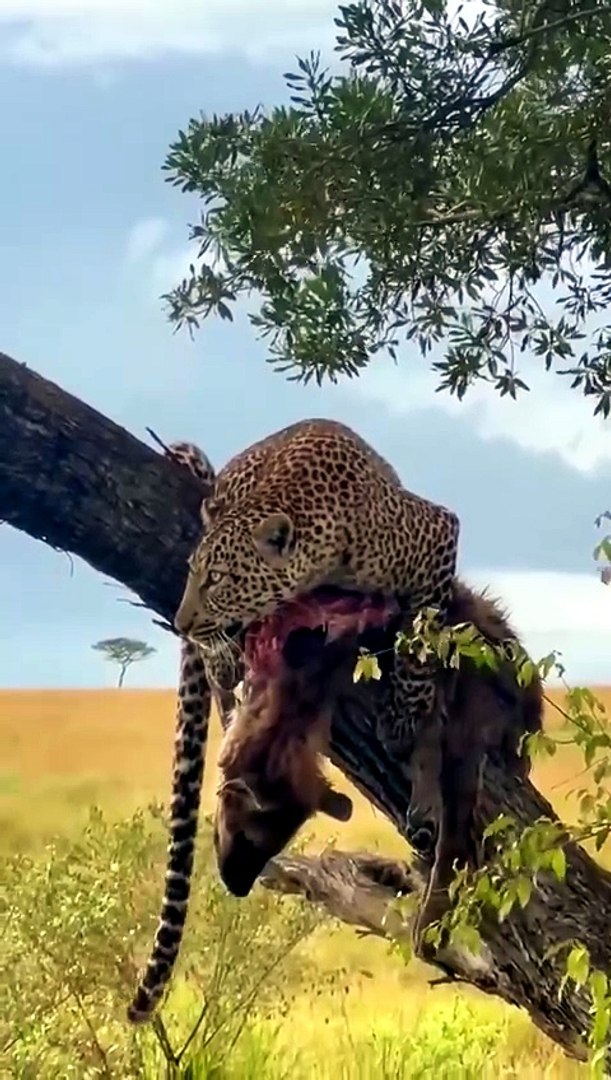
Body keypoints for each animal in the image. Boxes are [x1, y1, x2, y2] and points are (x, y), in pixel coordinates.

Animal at [127, 418, 460, 1024]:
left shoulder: (437, 533)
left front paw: (405, 713)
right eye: (192, 575)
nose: (183, 620)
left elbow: (424, 633)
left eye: (219, 578)